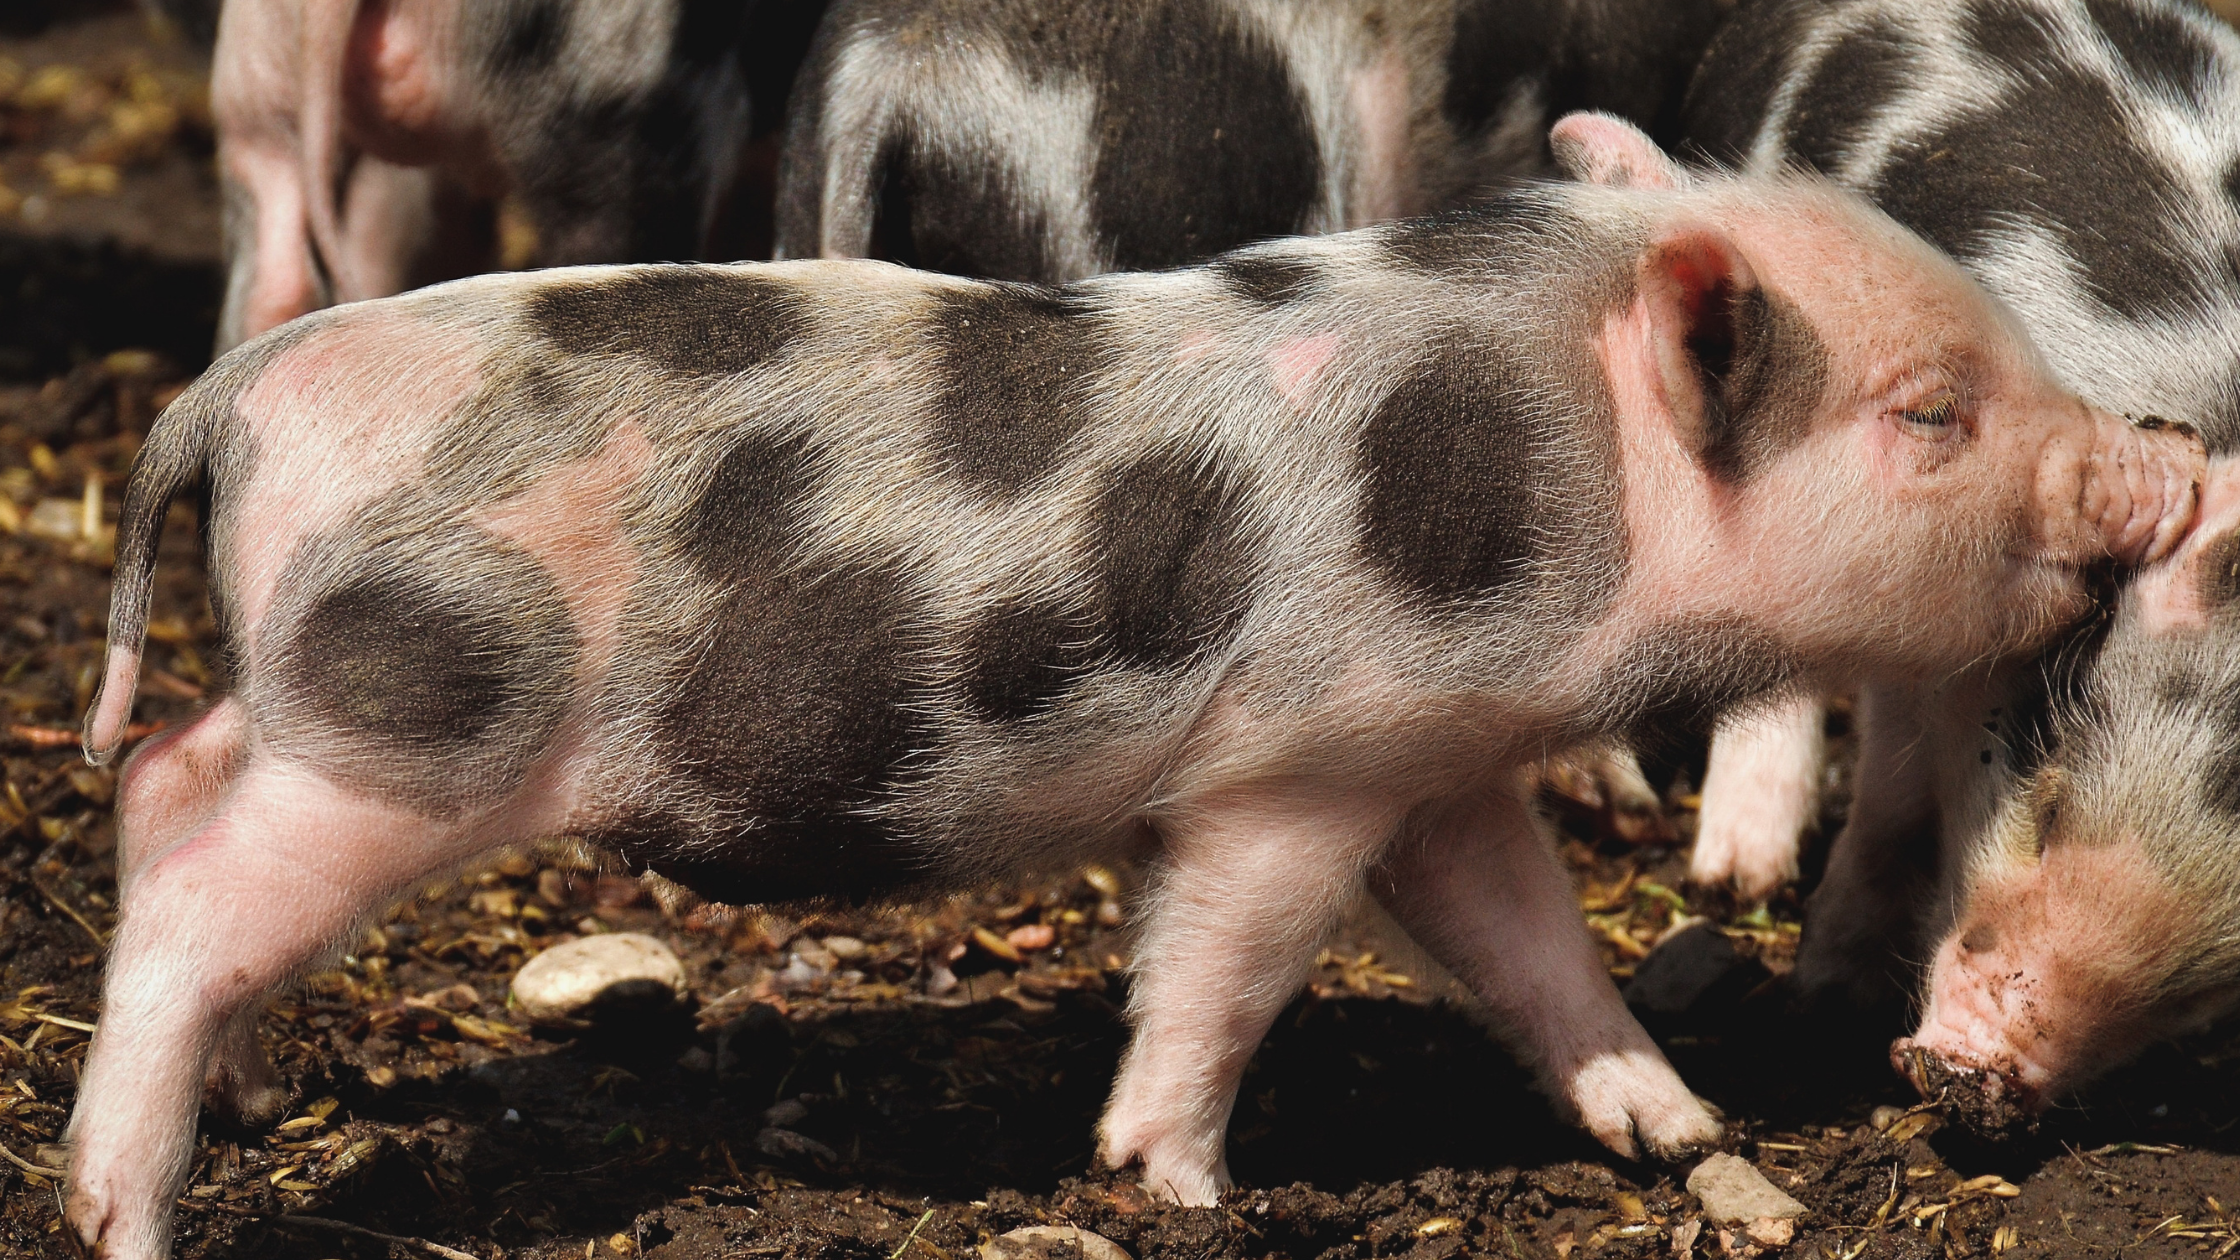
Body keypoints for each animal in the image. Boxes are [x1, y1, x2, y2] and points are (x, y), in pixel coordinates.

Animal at [62, 116, 2201, 1257]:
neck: (1548, 476)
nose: (2173, 454)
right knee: (188, 872)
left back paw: (246, 1100)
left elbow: (1535, 953)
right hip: (412, 711)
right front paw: (1178, 1184)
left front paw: (1675, 1135)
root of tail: (233, 393)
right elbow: (1224, 964)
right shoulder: (1296, 763)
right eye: (1929, 414)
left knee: (166, 783)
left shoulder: (1437, 760)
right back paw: (130, 1210)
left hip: (317, 704)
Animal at [1676, 0, 2240, 1112]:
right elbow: (1894, 787)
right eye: (2050, 800)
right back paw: (1735, 874)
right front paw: (1824, 992)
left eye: (2211, 982)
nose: (1978, 1074)